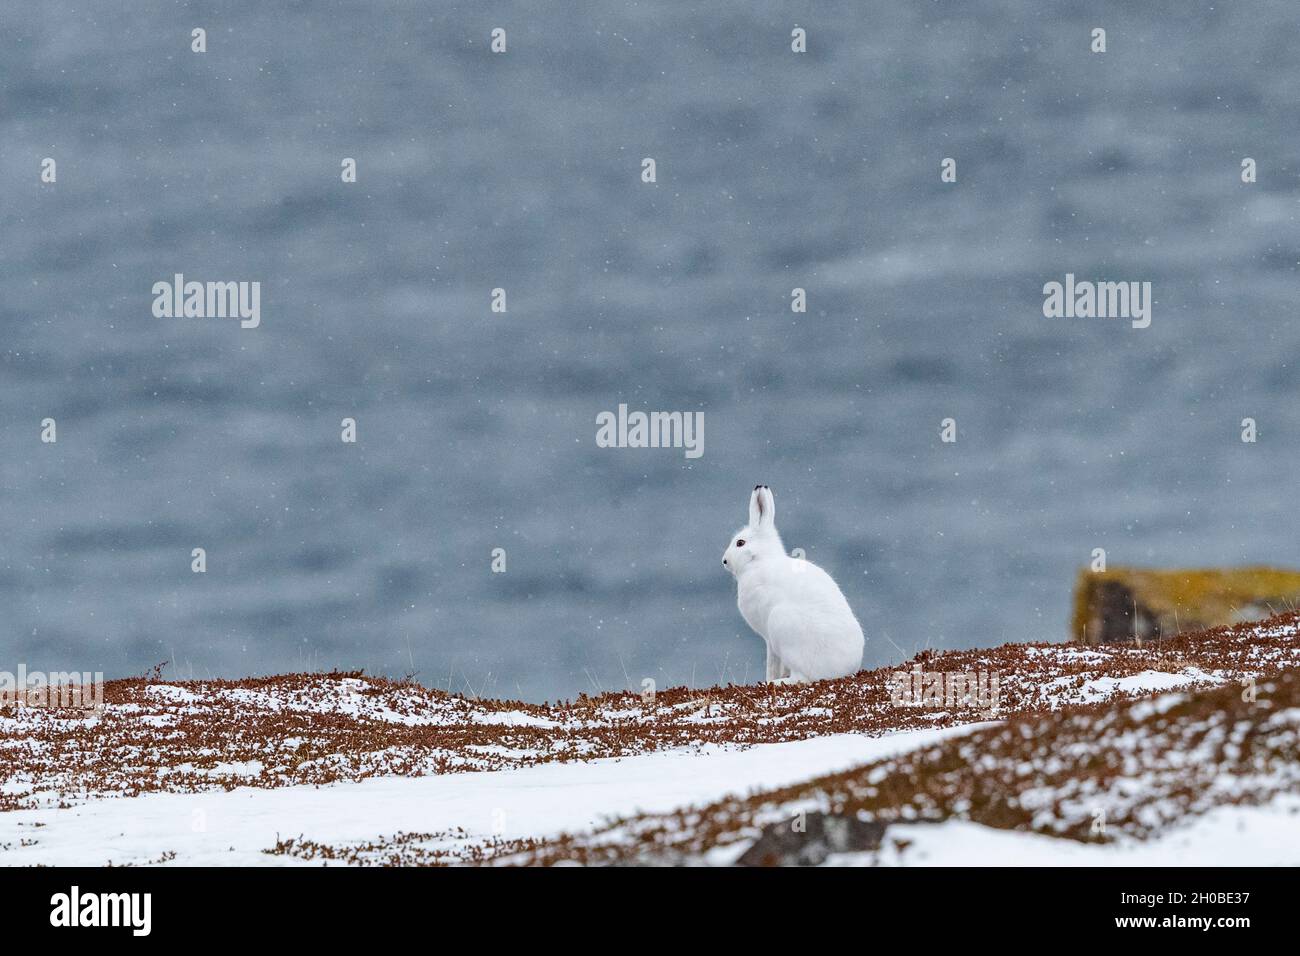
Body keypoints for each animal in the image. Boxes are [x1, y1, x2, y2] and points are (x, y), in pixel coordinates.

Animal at [722, 486, 864, 684]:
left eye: (740, 543)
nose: (724, 561)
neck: (760, 560)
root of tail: (840, 671)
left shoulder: (769, 638)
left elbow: (772, 663)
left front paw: (769, 677)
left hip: (782, 624)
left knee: (800, 678)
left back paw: (774, 682)